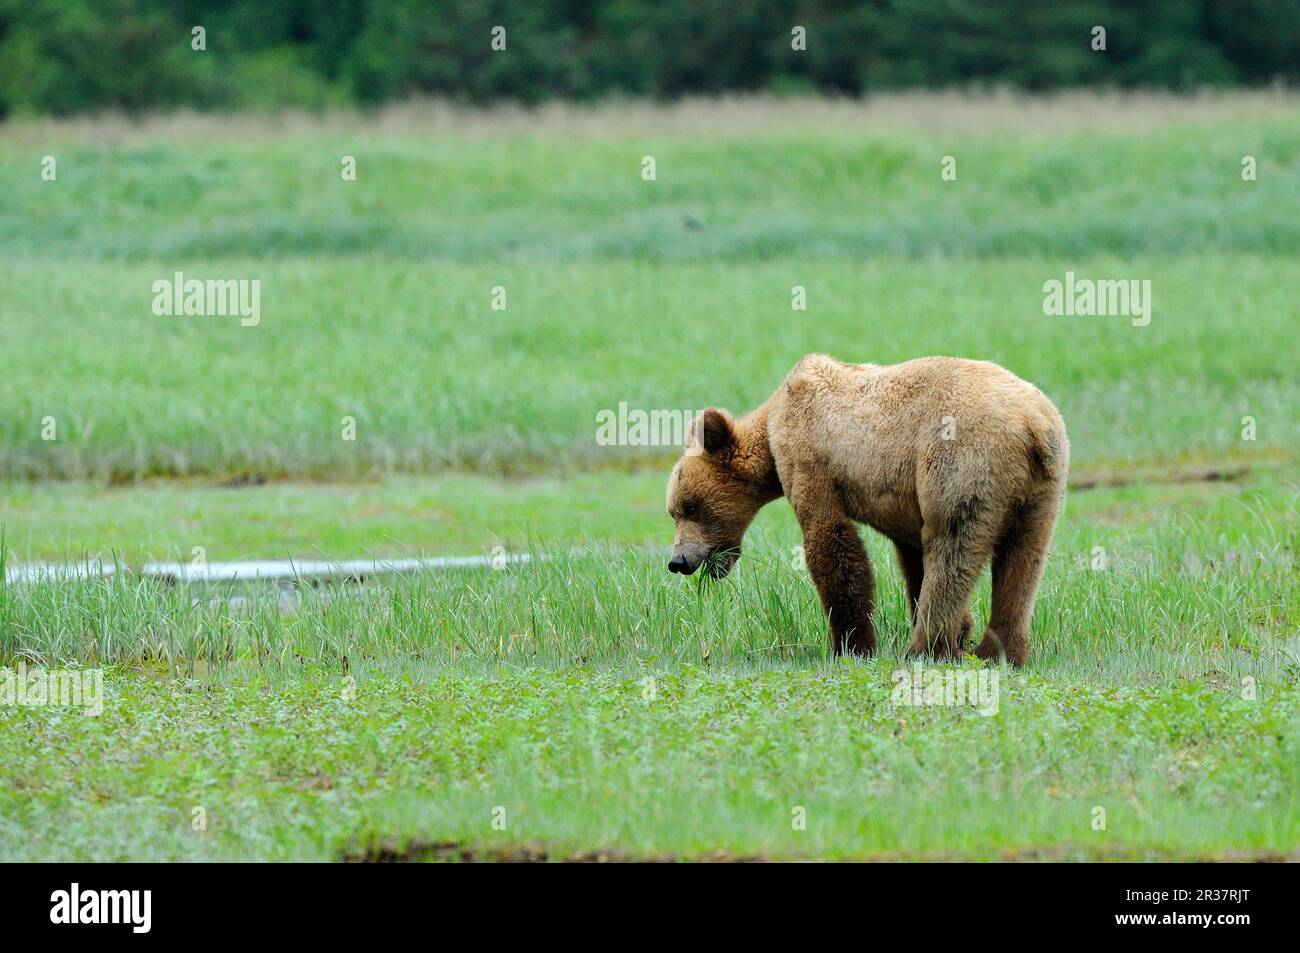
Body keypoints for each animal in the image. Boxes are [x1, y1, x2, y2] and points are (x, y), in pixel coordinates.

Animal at [665, 354, 1069, 666]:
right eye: (675, 511)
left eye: (690, 507)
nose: (677, 561)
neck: (771, 425)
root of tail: (1032, 424)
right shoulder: (905, 499)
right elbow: (912, 558)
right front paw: (962, 632)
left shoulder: (808, 456)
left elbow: (830, 540)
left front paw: (851, 645)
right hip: (1041, 490)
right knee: (1022, 563)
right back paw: (996, 652)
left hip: (960, 460)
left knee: (951, 550)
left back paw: (923, 650)